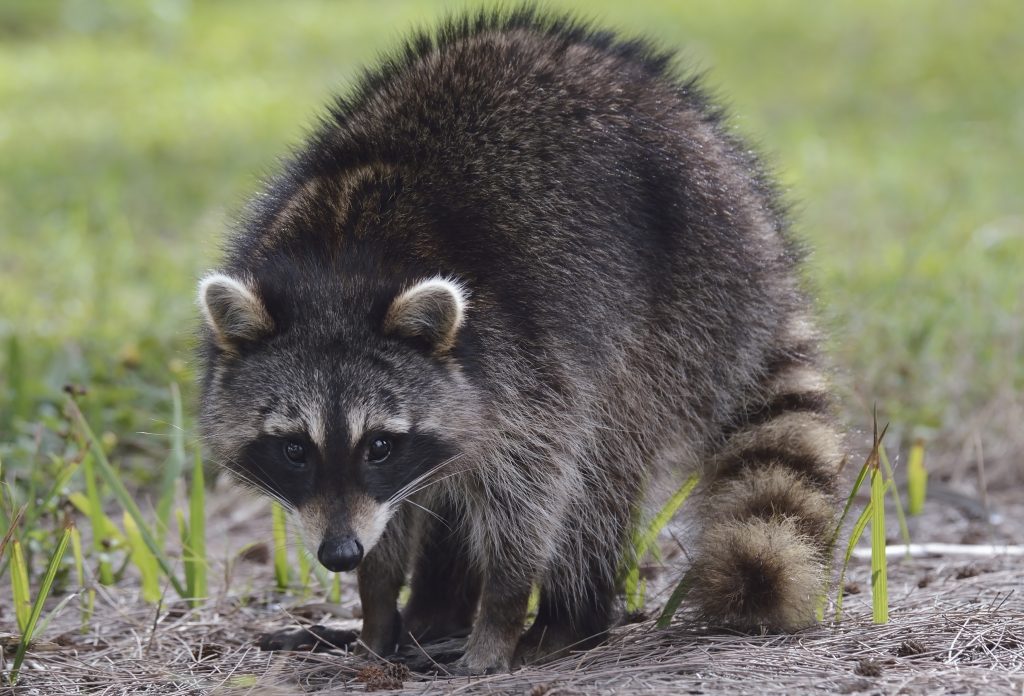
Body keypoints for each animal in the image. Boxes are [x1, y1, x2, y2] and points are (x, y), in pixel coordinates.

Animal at [197, 8, 842, 675]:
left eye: (378, 444)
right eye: (294, 449)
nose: (340, 554)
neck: (337, 264)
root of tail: (761, 232)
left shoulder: (527, 359)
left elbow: (534, 487)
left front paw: (498, 615)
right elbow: (406, 505)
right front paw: (376, 612)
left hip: (679, 311)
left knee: (601, 466)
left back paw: (566, 618)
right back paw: (436, 612)